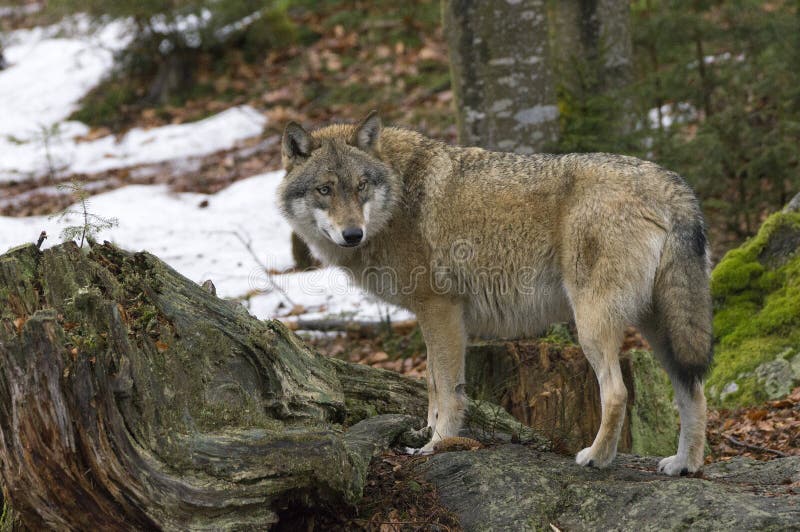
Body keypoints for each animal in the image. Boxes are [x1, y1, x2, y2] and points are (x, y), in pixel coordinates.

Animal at [278, 111, 713, 475]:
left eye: (361, 186)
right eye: (324, 189)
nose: (352, 234)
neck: (399, 196)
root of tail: (670, 183)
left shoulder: (441, 311)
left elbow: (447, 391)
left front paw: (438, 444)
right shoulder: (431, 316)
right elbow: (432, 385)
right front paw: (425, 435)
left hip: (592, 323)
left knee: (619, 392)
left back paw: (597, 457)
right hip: (663, 331)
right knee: (694, 391)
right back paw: (685, 464)